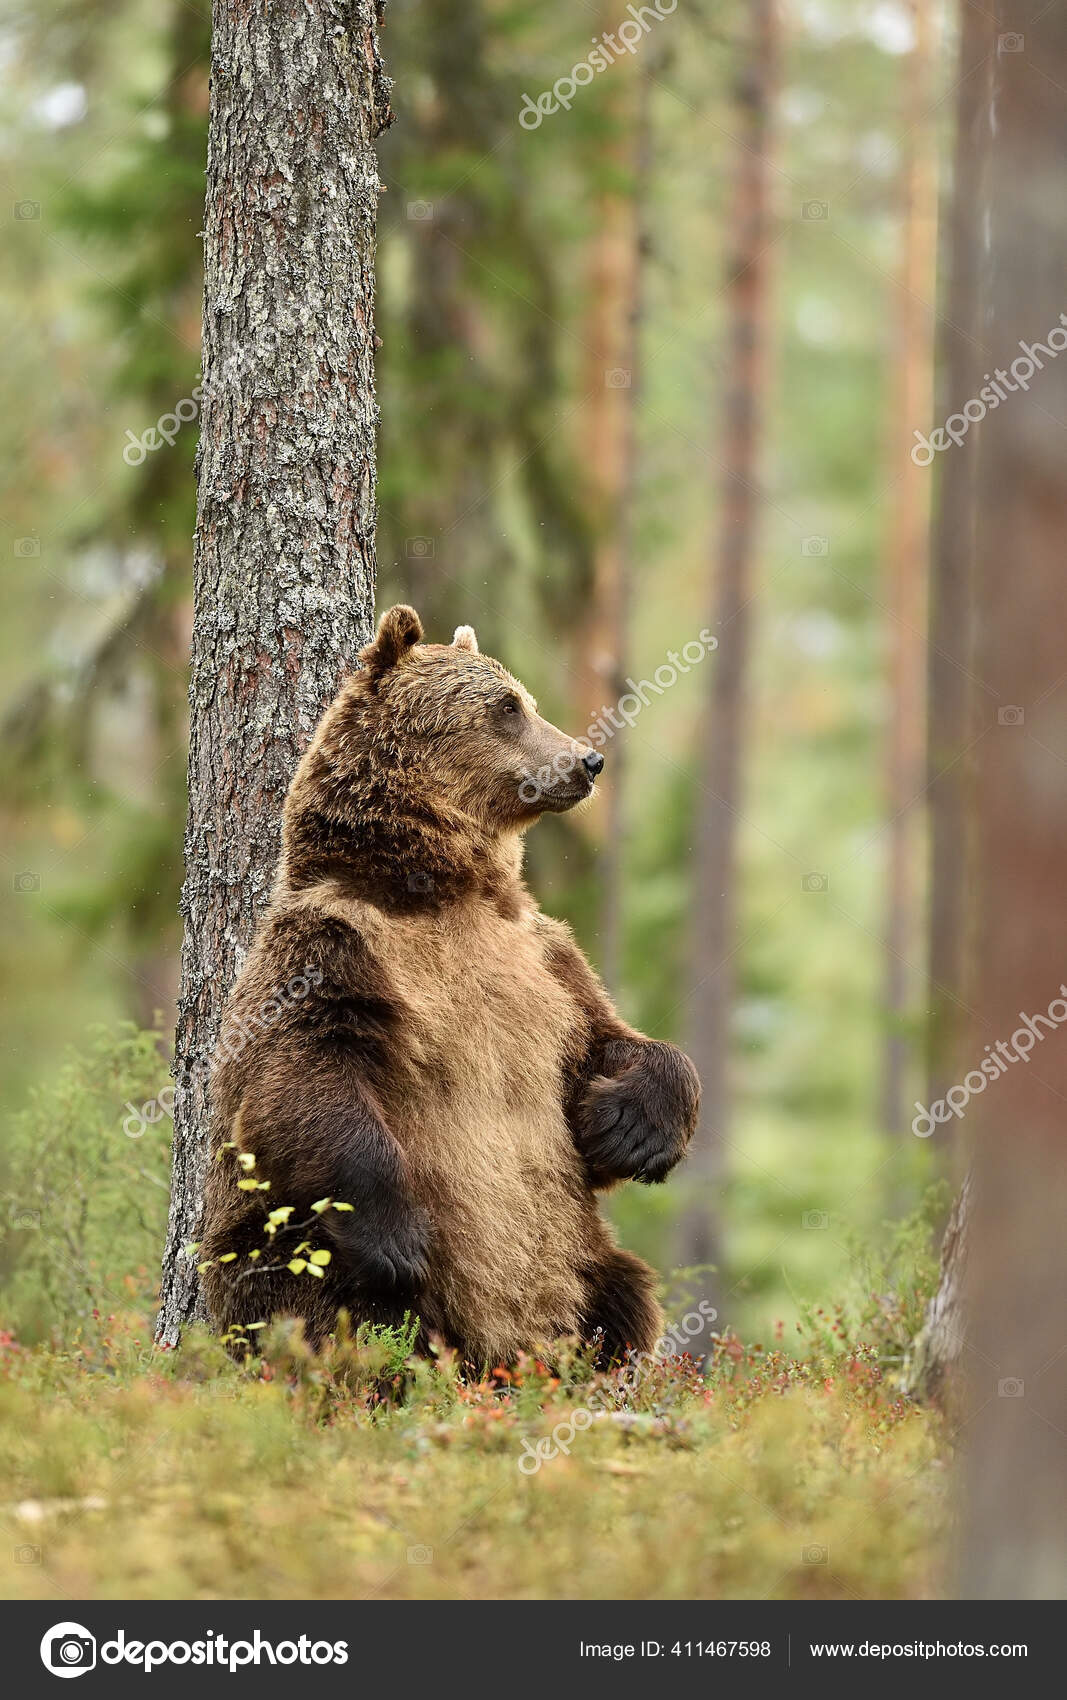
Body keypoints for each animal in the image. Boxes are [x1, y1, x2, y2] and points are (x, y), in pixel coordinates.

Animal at [200, 605, 700, 1369]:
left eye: (524, 699)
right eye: (507, 708)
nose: (587, 761)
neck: (434, 889)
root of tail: (499, 1349)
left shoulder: (543, 959)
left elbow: (608, 1041)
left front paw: (625, 1129)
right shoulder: (332, 949)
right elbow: (303, 1075)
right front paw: (398, 1239)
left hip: (583, 1254)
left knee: (625, 1296)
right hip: (280, 1242)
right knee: (320, 1305)